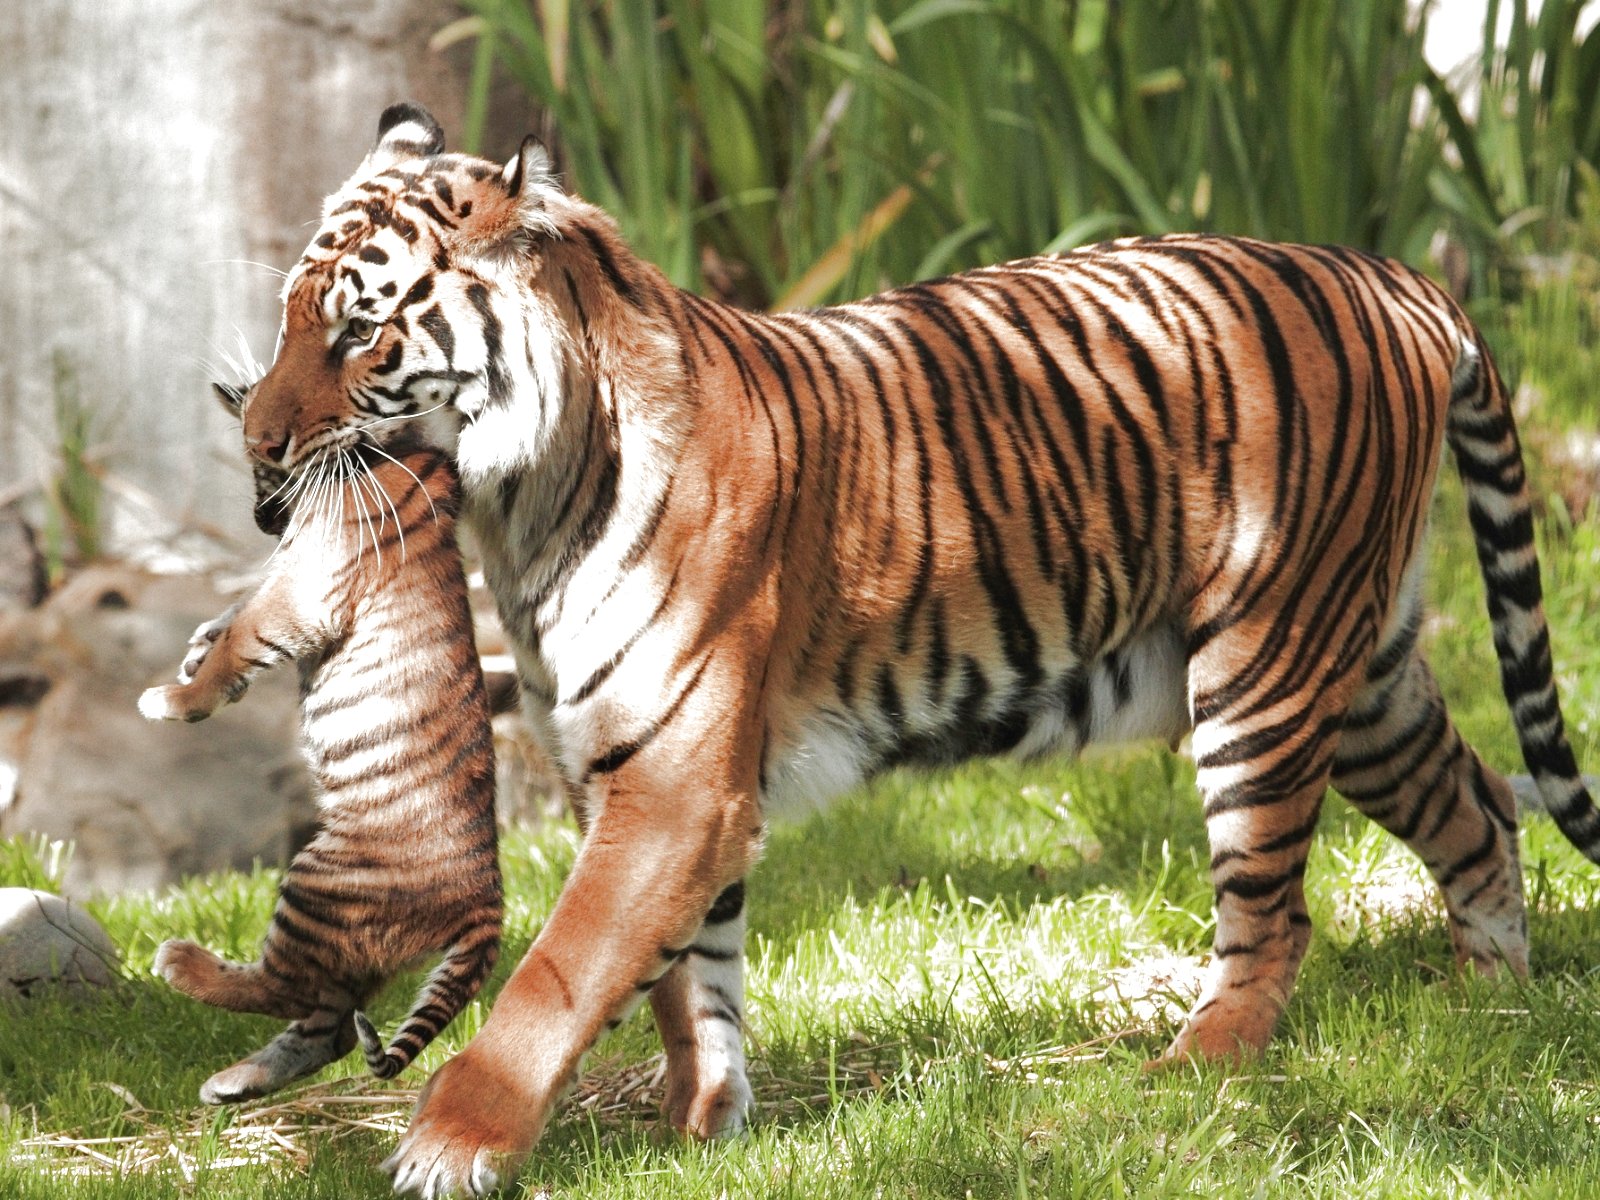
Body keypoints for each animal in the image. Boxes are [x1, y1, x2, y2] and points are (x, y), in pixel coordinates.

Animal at [140, 386, 501, 1104]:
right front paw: (195, 647)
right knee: (326, 1029)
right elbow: (232, 616)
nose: (260, 522)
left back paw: (181, 963)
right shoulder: (286, 576)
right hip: (343, 939)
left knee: (283, 990)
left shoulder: (302, 597)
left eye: (259, 462)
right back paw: (234, 1082)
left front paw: (175, 698)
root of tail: (488, 903)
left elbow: (240, 642)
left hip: (321, 886)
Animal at [198, 102, 1596, 1196]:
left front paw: (452, 1144)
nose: (256, 443)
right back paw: (1488, 1001)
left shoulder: (675, 776)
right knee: (1478, 803)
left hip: (1262, 667)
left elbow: (565, 966)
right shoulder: (646, 771)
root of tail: (1388, 273)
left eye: (360, 333)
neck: (520, 506)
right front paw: (701, 1131)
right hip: (1358, 670)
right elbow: (688, 978)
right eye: (287, 320)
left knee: (1275, 911)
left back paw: (1200, 1068)